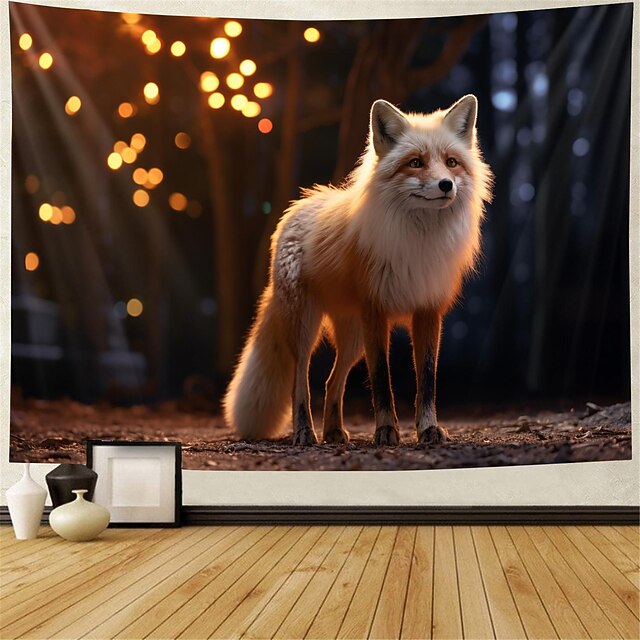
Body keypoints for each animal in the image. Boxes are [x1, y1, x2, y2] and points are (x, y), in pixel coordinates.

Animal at [224, 95, 493, 446]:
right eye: (415, 163)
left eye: (451, 162)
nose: (446, 185)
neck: (418, 240)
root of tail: (296, 209)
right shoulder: (375, 309)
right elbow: (381, 380)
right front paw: (386, 431)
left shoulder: (428, 310)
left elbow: (427, 381)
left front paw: (428, 429)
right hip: (307, 327)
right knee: (301, 382)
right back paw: (305, 432)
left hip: (352, 339)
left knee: (330, 382)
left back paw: (334, 432)